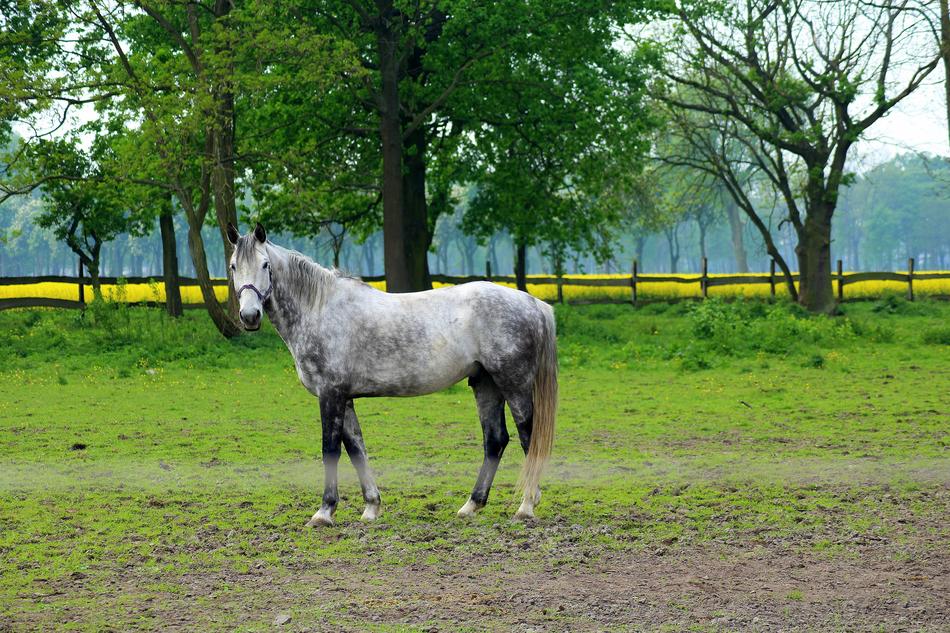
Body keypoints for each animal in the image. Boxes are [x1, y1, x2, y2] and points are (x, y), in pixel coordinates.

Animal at [226, 223, 557, 526]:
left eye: (265, 265)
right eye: (233, 266)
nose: (250, 316)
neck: (319, 310)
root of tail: (533, 303)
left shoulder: (330, 394)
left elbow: (330, 449)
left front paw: (324, 512)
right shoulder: (345, 398)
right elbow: (356, 449)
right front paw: (371, 507)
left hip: (514, 385)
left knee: (529, 437)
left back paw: (526, 506)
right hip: (485, 383)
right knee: (495, 440)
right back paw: (471, 505)